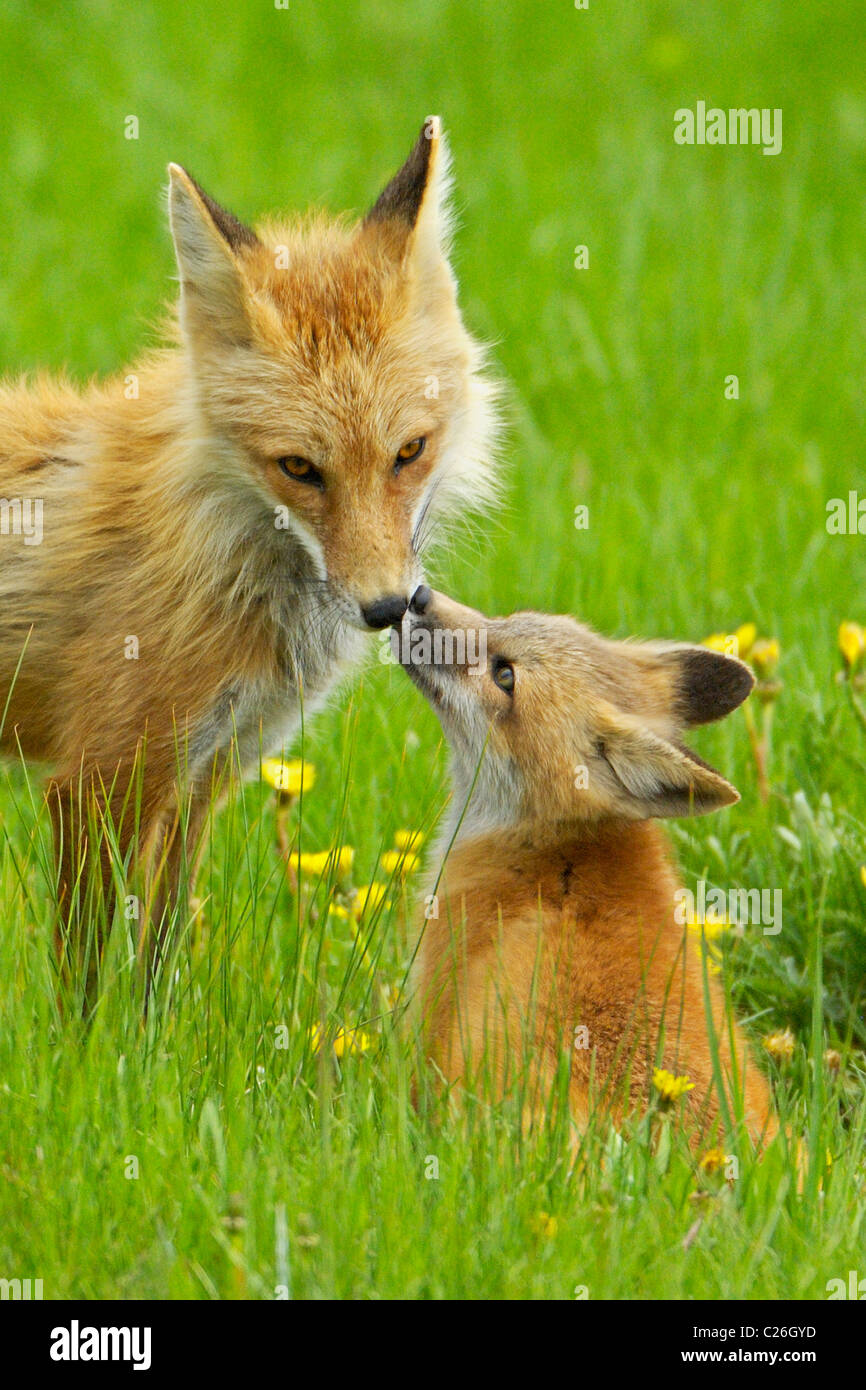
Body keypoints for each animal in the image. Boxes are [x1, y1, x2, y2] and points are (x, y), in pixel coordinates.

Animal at [0, 119, 500, 992]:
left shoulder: (203, 778)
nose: (385, 609)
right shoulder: (99, 781)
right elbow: (85, 990)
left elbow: (157, 968)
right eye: (298, 467)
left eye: (409, 451)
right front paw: (85, 1034)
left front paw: (151, 1030)